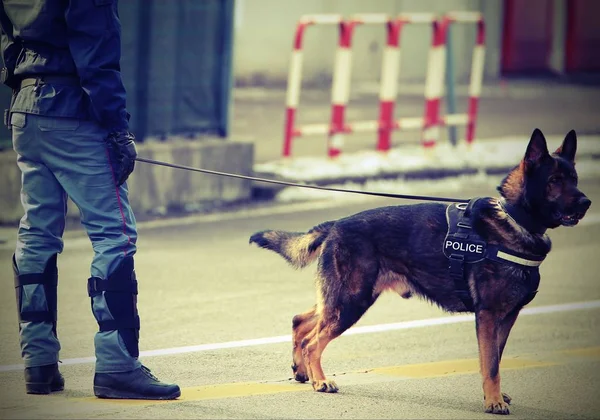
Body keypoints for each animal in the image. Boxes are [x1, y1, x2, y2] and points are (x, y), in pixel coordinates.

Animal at [247, 130, 592, 416]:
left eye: (574, 178)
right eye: (554, 181)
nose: (587, 202)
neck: (515, 218)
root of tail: (335, 224)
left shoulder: (506, 317)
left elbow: (494, 358)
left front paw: (494, 396)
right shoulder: (489, 315)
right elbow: (491, 364)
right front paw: (493, 402)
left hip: (344, 298)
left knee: (302, 321)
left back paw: (302, 370)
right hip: (351, 301)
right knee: (313, 341)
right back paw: (320, 381)